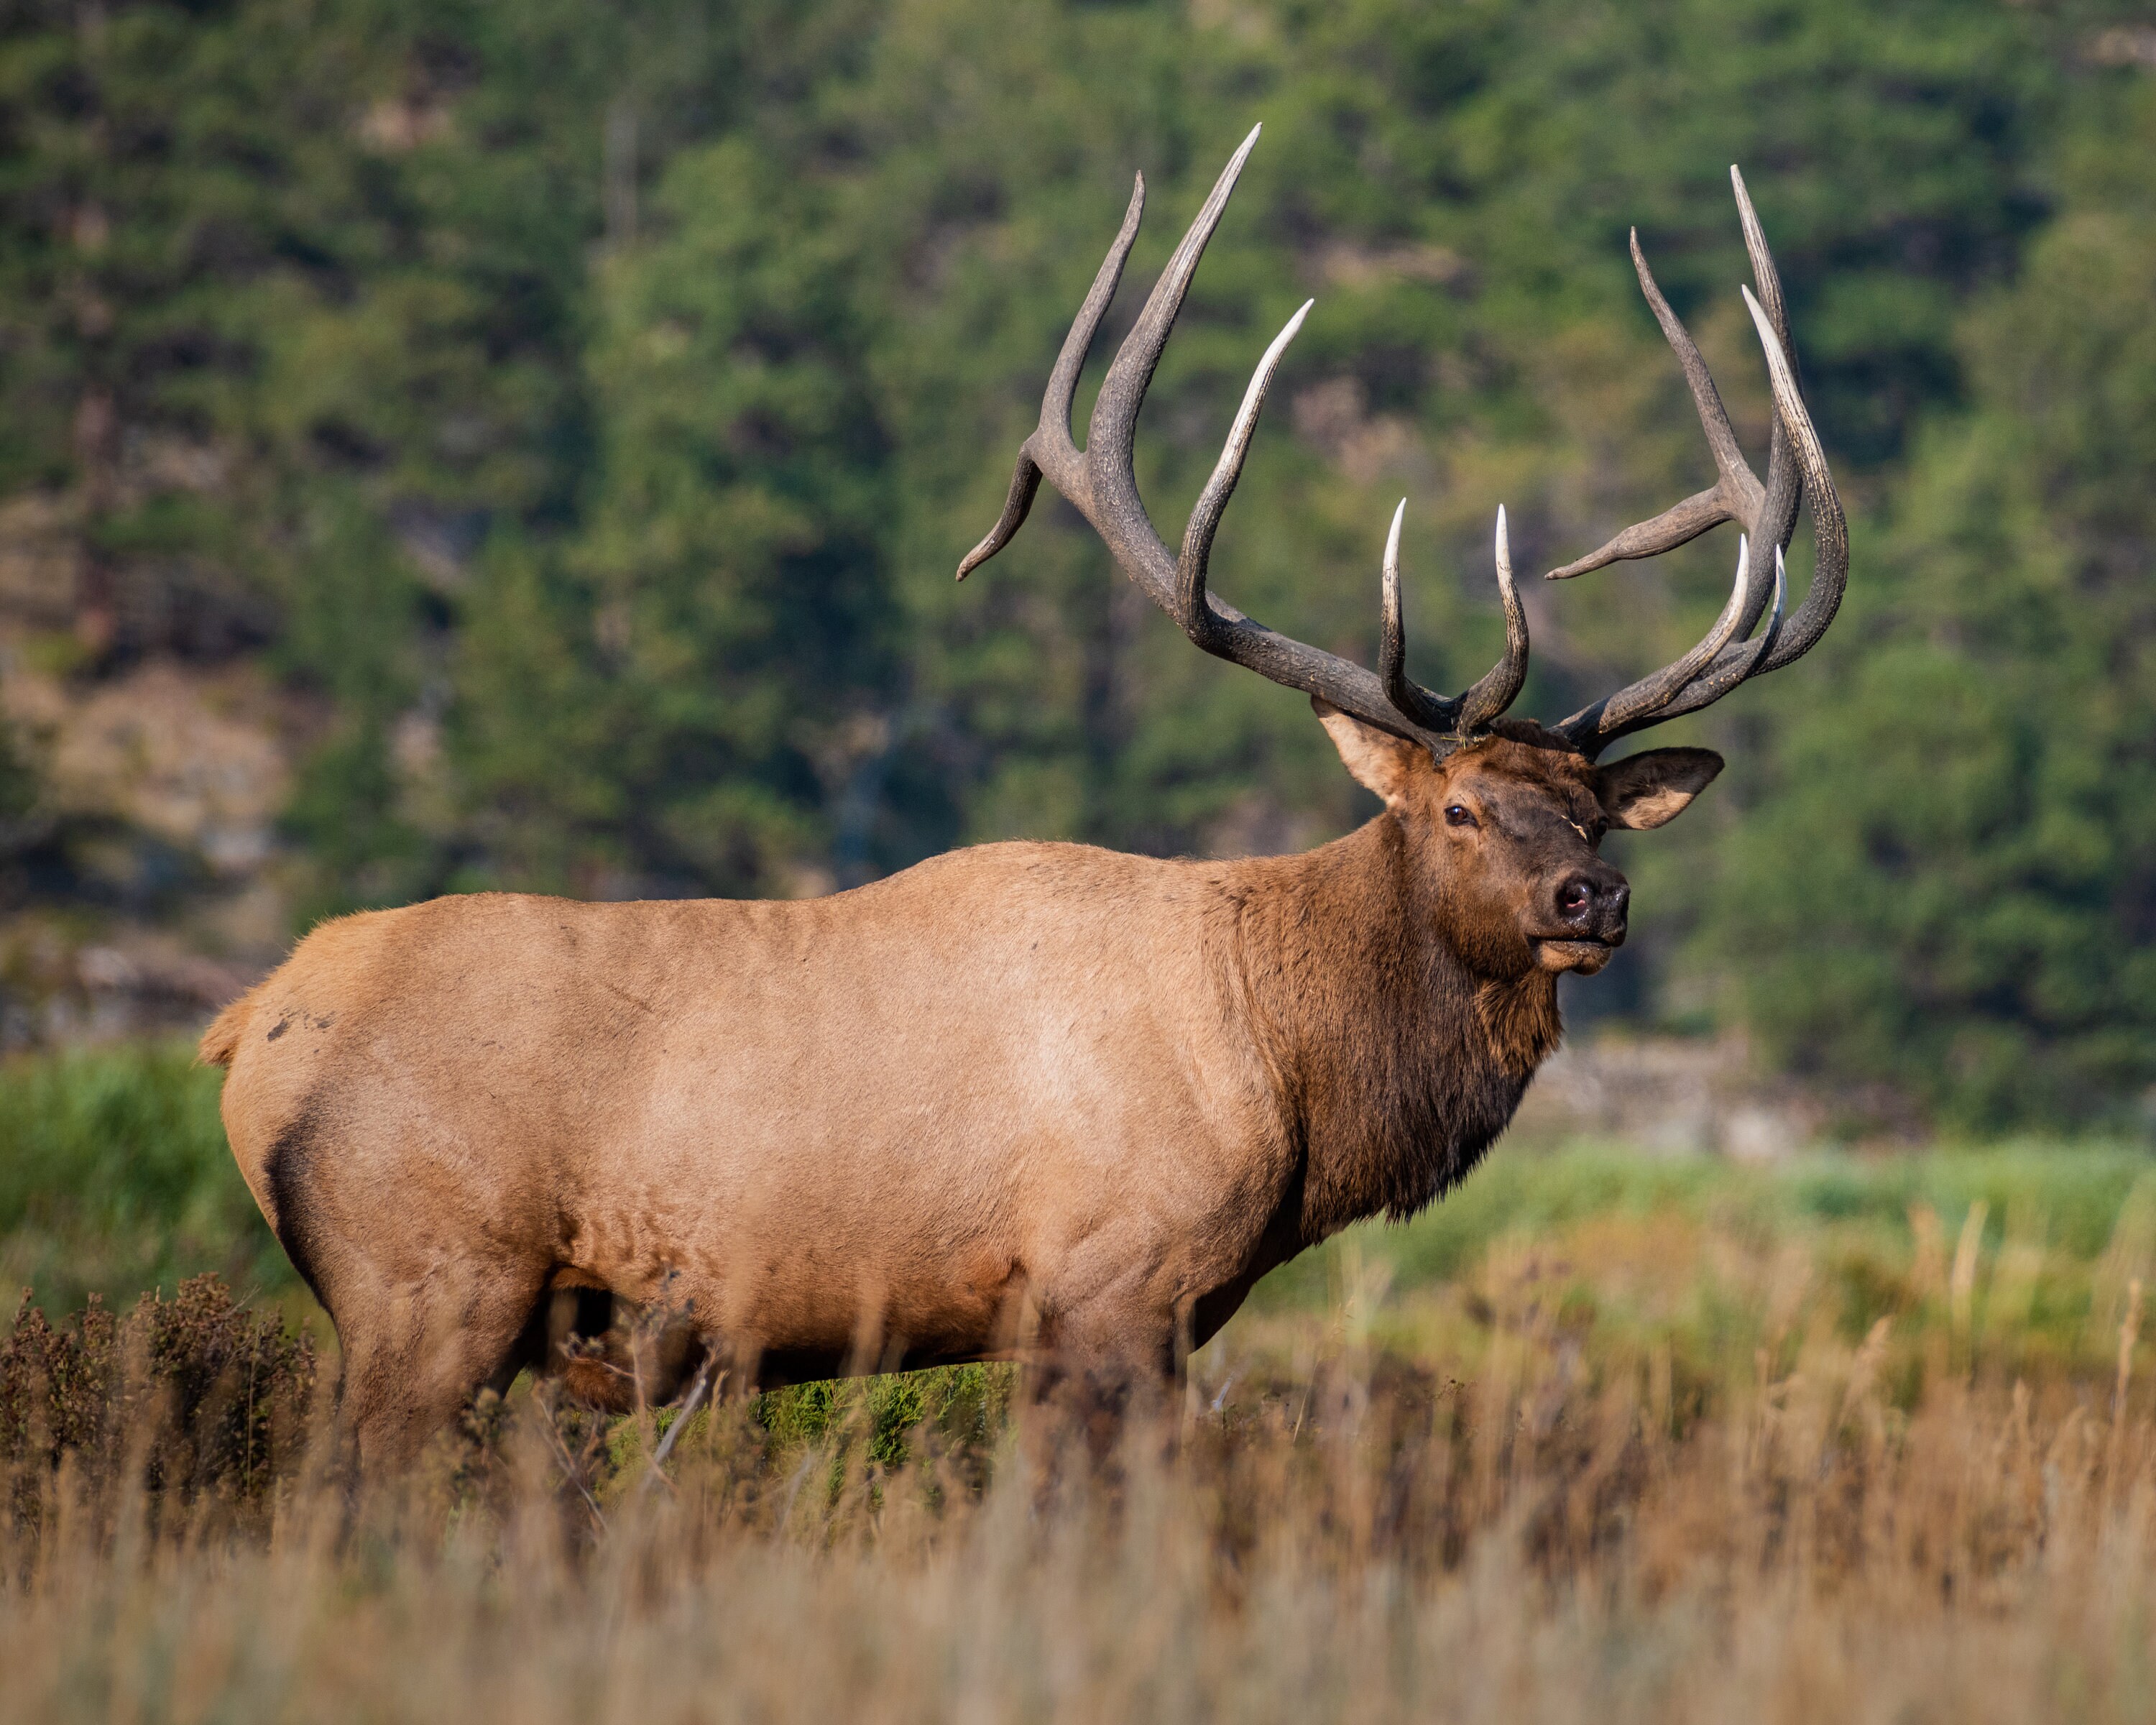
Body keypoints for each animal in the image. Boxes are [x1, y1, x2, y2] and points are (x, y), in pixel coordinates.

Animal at [201, 127, 1845, 1468]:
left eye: (1595, 809)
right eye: (1456, 809)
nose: (1594, 897)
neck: (1294, 1069)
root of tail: (250, 1026)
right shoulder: (1115, 1283)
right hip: (430, 1280)